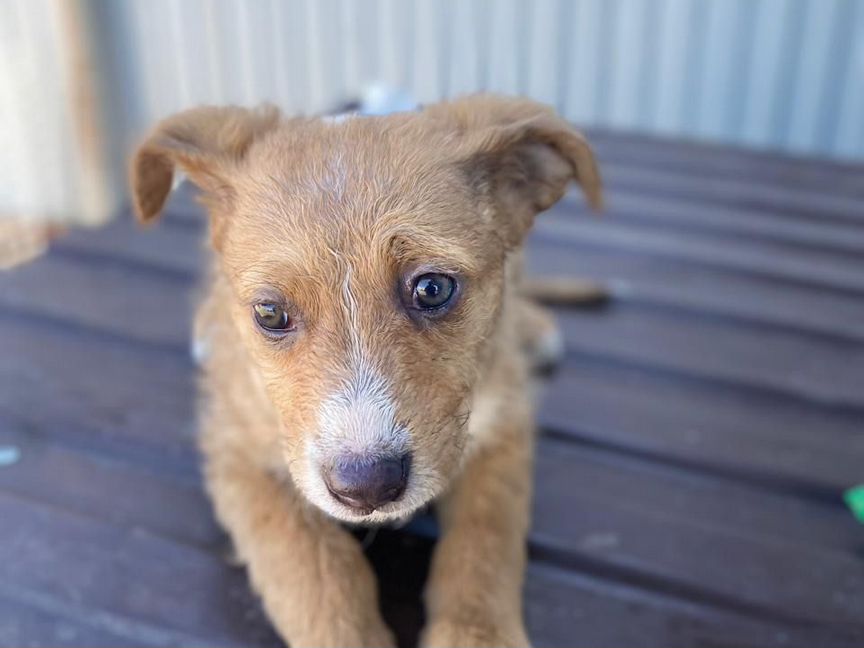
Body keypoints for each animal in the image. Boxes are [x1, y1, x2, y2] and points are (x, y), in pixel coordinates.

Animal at [130, 96, 600, 648]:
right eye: (270, 313)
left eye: (433, 289)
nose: (367, 487)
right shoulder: (235, 455)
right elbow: (310, 565)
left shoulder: (504, 426)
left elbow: (485, 542)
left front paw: (475, 634)